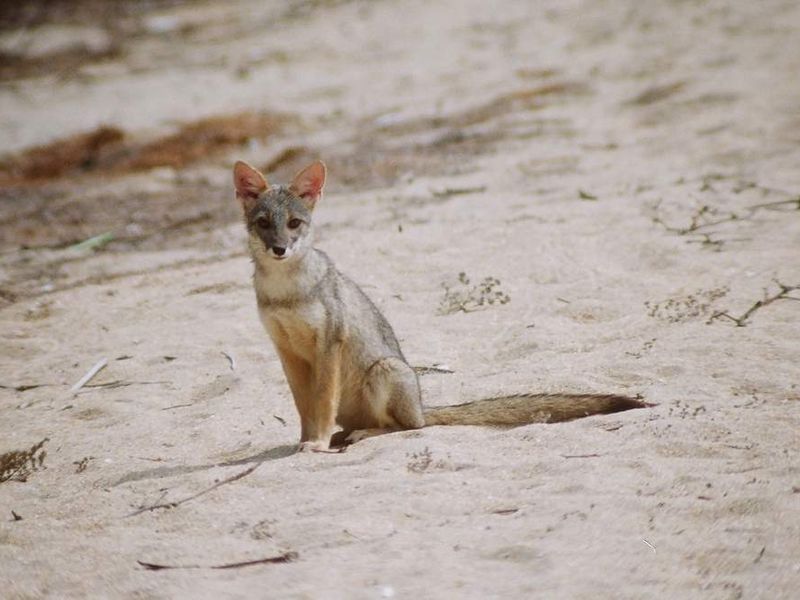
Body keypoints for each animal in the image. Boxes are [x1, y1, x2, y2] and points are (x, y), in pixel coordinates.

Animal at [233, 159, 647, 452]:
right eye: (264, 223)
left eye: (294, 223)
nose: (279, 249)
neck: (286, 291)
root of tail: (421, 406)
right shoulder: (286, 351)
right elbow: (304, 406)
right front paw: (305, 442)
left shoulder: (329, 344)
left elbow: (320, 403)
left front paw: (315, 444)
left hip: (385, 371)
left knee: (405, 429)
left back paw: (362, 434)